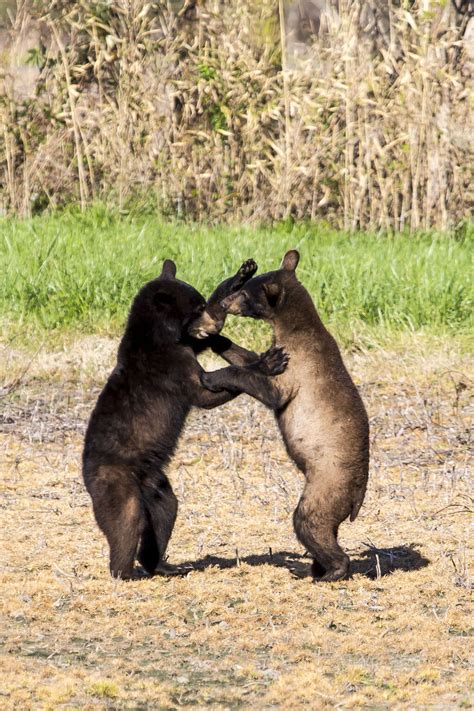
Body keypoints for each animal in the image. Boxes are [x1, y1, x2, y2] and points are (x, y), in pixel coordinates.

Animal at [82, 258, 288, 579]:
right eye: (196, 309)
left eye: (202, 303)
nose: (213, 325)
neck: (161, 336)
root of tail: (85, 470)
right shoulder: (170, 365)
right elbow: (204, 391)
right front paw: (269, 361)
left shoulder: (186, 344)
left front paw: (243, 272)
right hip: (115, 479)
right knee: (126, 519)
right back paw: (123, 571)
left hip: (155, 485)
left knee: (165, 513)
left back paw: (163, 565)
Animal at [197, 250, 369, 582]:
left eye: (246, 294)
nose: (225, 302)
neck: (292, 328)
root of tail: (358, 498)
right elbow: (250, 357)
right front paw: (212, 338)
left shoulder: (297, 368)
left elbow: (266, 387)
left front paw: (211, 376)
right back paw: (314, 567)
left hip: (327, 484)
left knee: (309, 521)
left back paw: (328, 572)